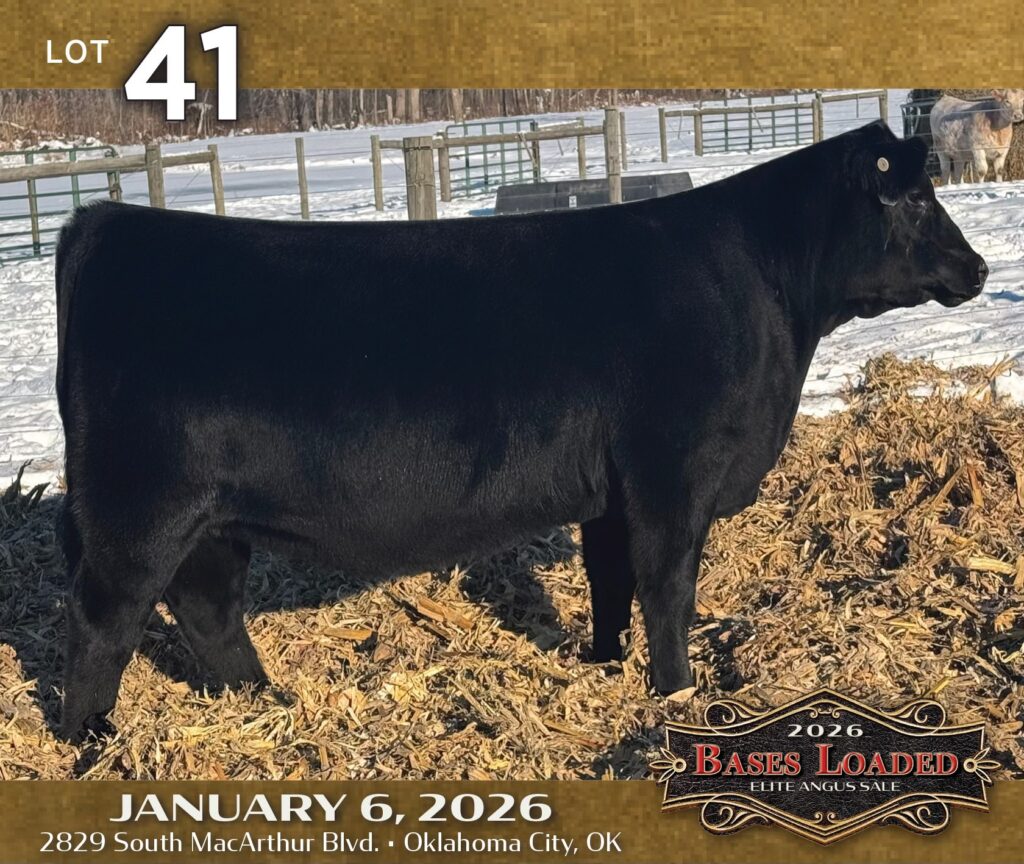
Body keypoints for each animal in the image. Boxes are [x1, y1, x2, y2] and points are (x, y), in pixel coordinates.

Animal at [54, 121, 987, 741]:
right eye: (914, 196)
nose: (977, 269)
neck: (771, 294)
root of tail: (105, 222)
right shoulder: (671, 471)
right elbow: (669, 590)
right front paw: (675, 694)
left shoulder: (611, 486)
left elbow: (611, 580)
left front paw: (604, 665)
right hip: (140, 507)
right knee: (104, 618)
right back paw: (92, 742)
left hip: (210, 517)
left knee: (205, 607)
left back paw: (264, 704)